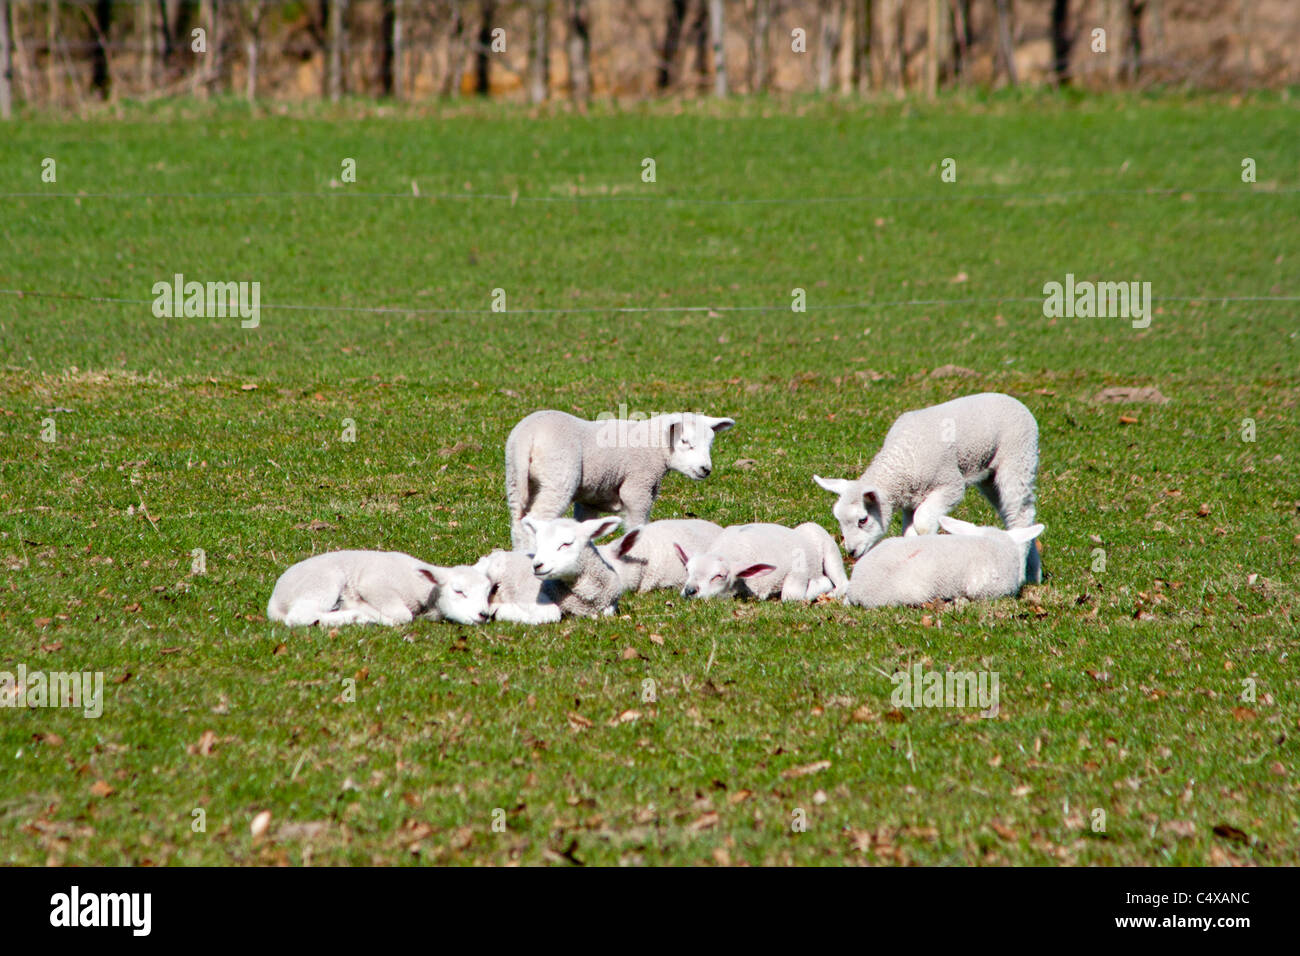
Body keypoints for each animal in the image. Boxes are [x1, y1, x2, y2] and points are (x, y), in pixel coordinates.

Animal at [267, 551, 492, 627]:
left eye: (487, 593)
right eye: (458, 591)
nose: (484, 614)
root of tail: (274, 601)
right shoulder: (375, 585)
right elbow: (403, 615)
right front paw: (365, 611)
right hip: (323, 582)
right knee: (300, 616)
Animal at [479, 515, 625, 623]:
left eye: (566, 544)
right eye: (538, 545)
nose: (537, 565)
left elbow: (607, 612)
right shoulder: (529, 594)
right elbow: (552, 612)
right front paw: (504, 612)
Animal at [505, 409, 735, 551]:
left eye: (710, 444)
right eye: (685, 442)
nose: (706, 469)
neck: (654, 445)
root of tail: (528, 436)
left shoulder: (590, 498)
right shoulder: (638, 487)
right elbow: (636, 524)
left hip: (516, 479)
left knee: (517, 522)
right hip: (558, 476)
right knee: (536, 519)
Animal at [675, 522, 848, 602]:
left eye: (720, 576)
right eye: (687, 570)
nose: (690, 591)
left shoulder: (797, 568)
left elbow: (790, 595)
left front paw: (821, 584)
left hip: (826, 545)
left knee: (843, 582)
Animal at [813, 391, 1041, 583]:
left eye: (863, 520)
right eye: (839, 520)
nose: (851, 552)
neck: (902, 459)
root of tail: (1013, 400)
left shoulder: (950, 484)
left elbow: (922, 522)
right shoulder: (910, 500)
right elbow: (910, 534)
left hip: (1018, 458)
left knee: (1021, 512)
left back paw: (1020, 572)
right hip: (989, 476)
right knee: (1015, 514)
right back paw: (1032, 572)